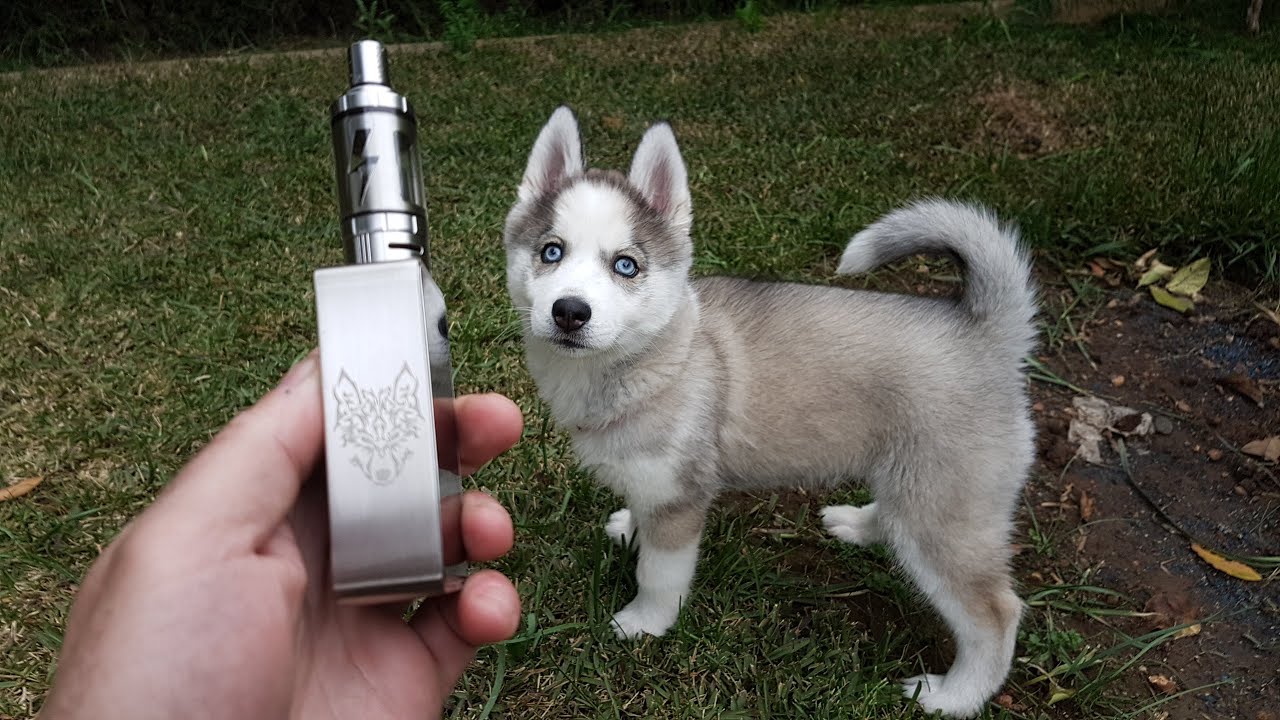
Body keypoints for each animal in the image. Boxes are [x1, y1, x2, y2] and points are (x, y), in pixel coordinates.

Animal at [502, 106, 1038, 718]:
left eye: (626, 266)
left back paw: (953, 697)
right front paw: (628, 529)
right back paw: (858, 524)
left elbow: (660, 576)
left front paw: (643, 624)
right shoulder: (653, 482)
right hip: (916, 485)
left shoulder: (679, 499)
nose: (570, 311)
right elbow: (639, 517)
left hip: (945, 510)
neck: (659, 357)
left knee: (996, 612)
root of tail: (986, 332)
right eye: (551, 252)